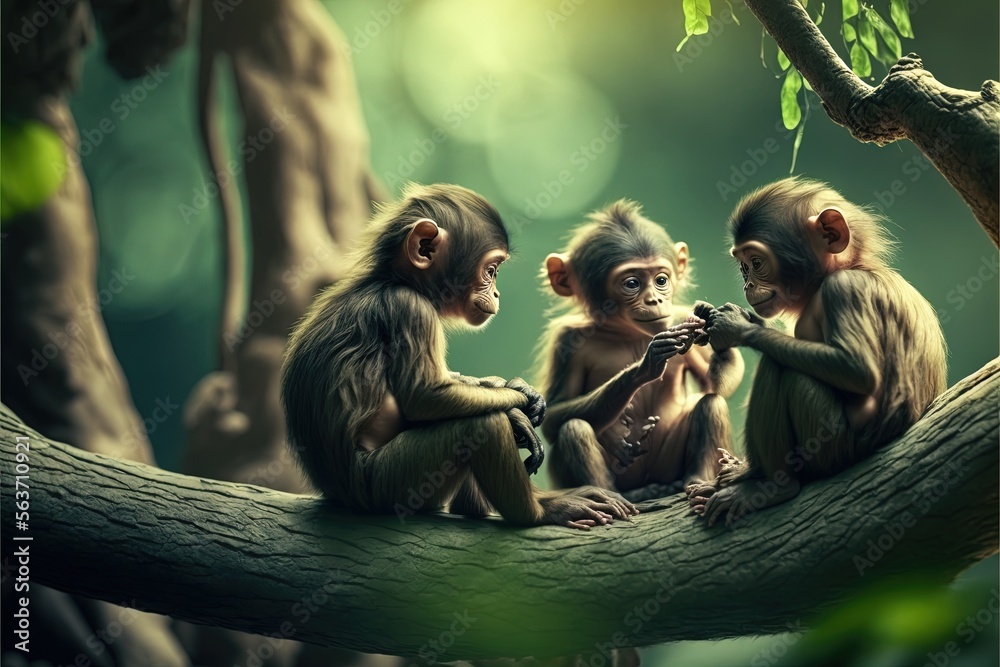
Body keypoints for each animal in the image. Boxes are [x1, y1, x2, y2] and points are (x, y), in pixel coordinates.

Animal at [281, 183, 638, 530]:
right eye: (491, 270)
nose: (496, 293)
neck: (394, 281)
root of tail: (339, 494)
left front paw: (512, 388)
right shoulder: (410, 308)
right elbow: (425, 396)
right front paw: (517, 406)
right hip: (387, 484)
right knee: (480, 425)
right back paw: (540, 510)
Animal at [536, 200, 745, 503]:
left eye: (661, 280)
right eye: (632, 283)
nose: (654, 300)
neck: (628, 331)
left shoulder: (679, 315)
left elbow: (714, 383)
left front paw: (711, 319)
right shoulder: (567, 340)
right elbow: (553, 414)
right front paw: (643, 367)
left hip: (666, 466)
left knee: (711, 403)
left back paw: (695, 481)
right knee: (573, 428)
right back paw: (616, 497)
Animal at [688, 177, 948, 527]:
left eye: (755, 263)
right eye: (742, 267)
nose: (747, 285)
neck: (856, 267)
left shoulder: (845, 288)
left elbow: (857, 370)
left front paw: (736, 326)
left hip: (833, 448)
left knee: (785, 369)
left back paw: (772, 485)